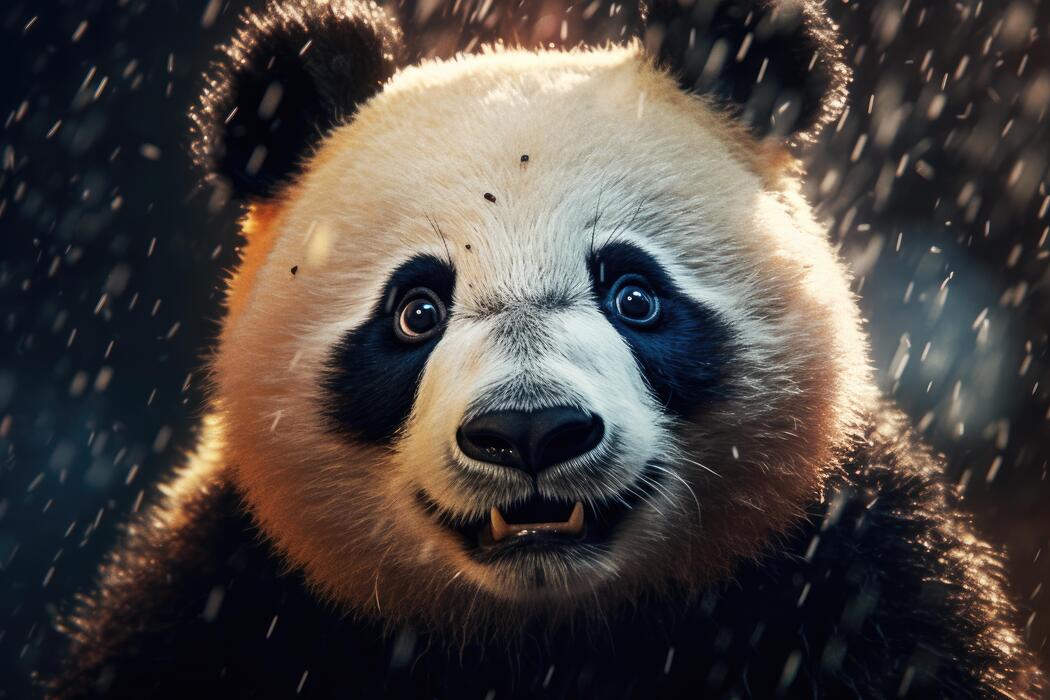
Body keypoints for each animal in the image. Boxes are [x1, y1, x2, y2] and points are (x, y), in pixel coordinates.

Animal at [51, 0, 1044, 697]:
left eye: (635, 296)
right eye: (416, 312)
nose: (530, 433)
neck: (544, 635)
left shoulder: (850, 572)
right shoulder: (225, 595)